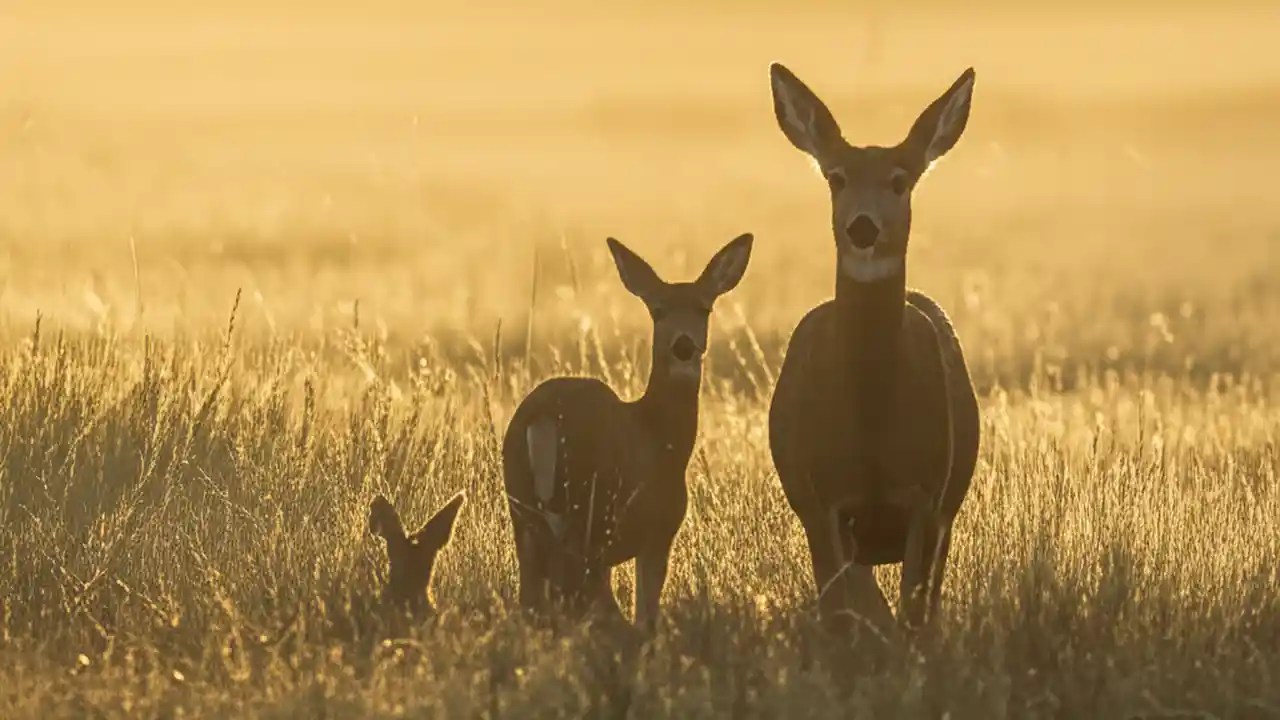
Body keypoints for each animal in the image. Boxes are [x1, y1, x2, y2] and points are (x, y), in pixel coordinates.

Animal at [502, 233, 753, 631]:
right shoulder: (661, 528)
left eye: (704, 309)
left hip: (522, 507)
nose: (683, 345)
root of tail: (542, 417)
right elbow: (646, 613)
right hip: (591, 515)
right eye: (658, 310)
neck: (660, 435)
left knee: (533, 598)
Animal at [765, 62, 982, 634]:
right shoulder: (823, 501)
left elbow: (910, 612)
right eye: (836, 178)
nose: (862, 226)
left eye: (899, 180)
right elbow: (847, 611)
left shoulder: (927, 498)